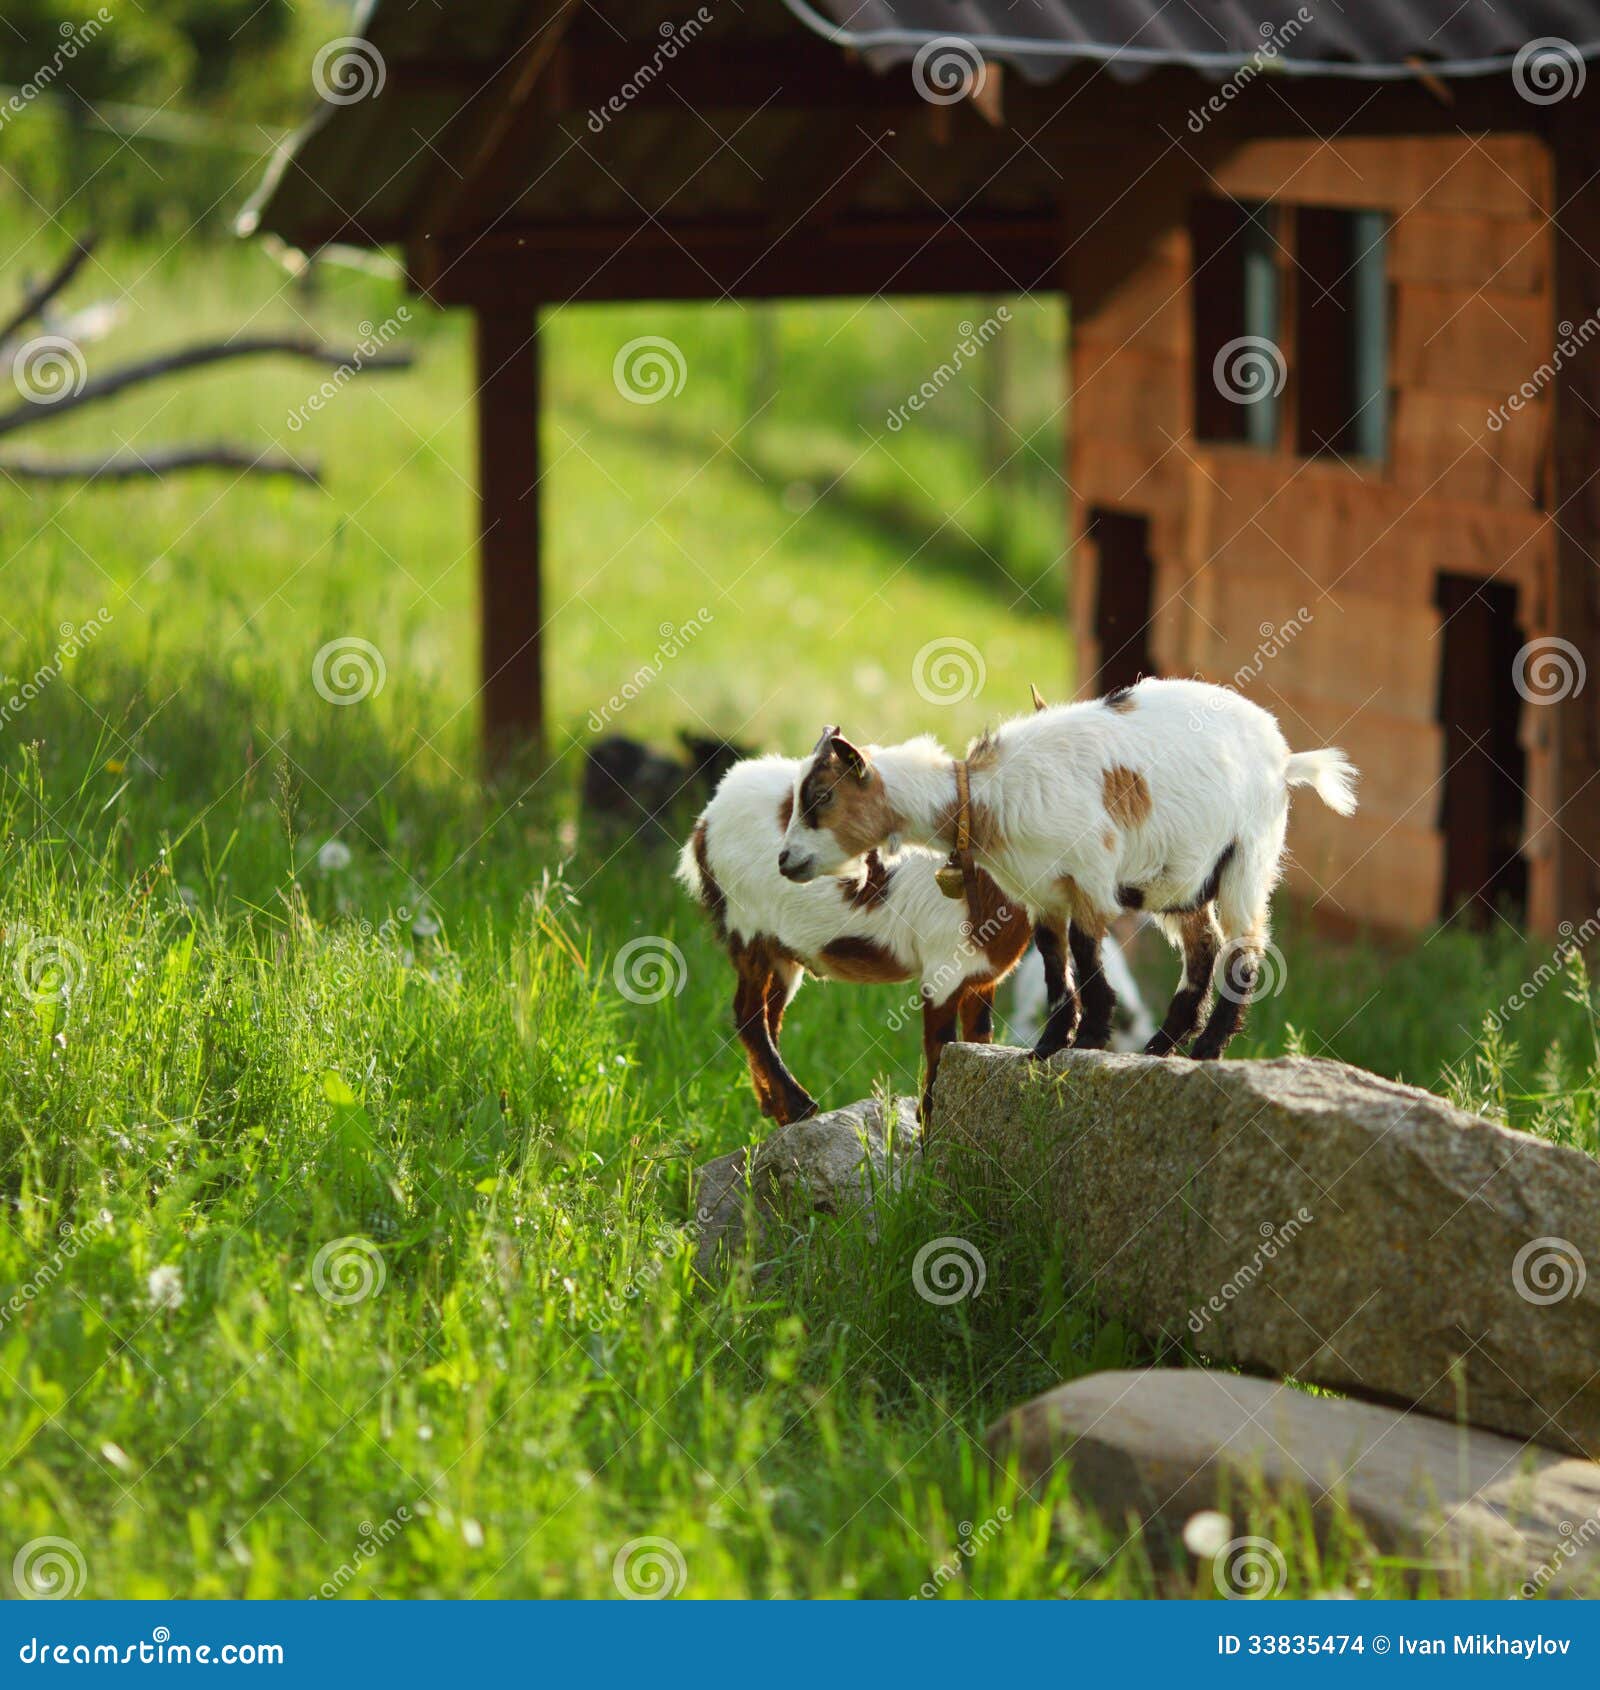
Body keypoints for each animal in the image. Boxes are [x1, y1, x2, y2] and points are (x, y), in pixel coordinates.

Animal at [677, 753, 1032, 1123]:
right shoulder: (943, 966)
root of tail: (705, 821)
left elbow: (978, 1037)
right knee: (748, 1013)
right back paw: (797, 1104)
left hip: (780, 951)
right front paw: (929, 1120)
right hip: (747, 926)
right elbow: (941, 1042)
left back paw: (777, 1107)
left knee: (769, 1015)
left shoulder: (981, 976)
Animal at [776, 678, 1358, 1061]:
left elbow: (1085, 949)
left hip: (1247, 856)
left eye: (821, 796)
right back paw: (1159, 1048)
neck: (986, 796)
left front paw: (1092, 1035)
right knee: (1203, 948)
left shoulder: (1091, 875)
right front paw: (1050, 1044)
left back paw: (1205, 1050)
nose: (785, 860)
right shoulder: (1041, 891)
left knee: (1245, 948)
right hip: (1182, 879)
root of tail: (1285, 758)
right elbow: (1055, 958)